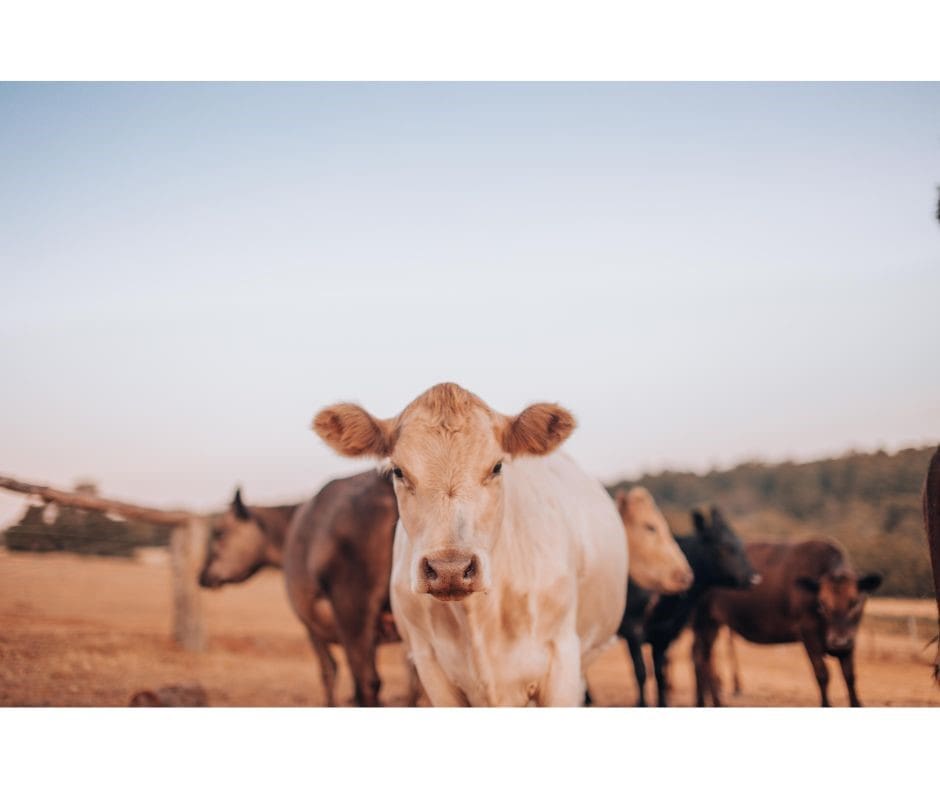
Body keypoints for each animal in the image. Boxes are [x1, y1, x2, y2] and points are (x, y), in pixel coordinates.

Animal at [618, 505, 760, 706]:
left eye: (740, 543)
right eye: (724, 546)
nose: (754, 578)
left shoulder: (666, 632)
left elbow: (660, 673)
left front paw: (663, 703)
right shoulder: (632, 629)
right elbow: (641, 672)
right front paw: (641, 704)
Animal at [692, 538, 882, 707]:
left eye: (855, 602)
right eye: (821, 603)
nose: (838, 642)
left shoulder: (850, 639)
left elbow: (850, 675)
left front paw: (857, 704)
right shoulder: (808, 633)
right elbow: (822, 674)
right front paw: (826, 705)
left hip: (711, 623)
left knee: (700, 656)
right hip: (703, 620)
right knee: (702, 658)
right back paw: (712, 703)